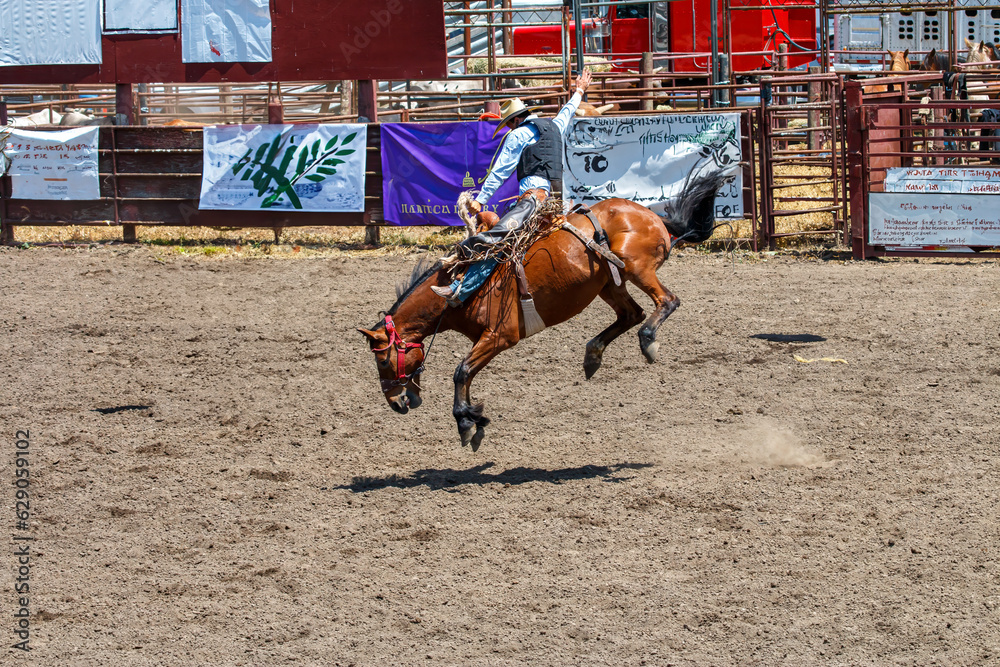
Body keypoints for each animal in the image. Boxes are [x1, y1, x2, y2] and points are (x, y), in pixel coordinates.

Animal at [358, 168, 731, 450]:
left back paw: (648, 340)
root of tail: (655, 216)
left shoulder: (500, 336)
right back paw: (593, 354)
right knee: (631, 314)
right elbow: (466, 373)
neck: (462, 285)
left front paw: (467, 422)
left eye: (382, 360)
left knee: (666, 302)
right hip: (609, 284)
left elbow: (461, 371)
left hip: (637, 268)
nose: (395, 403)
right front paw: (474, 418)